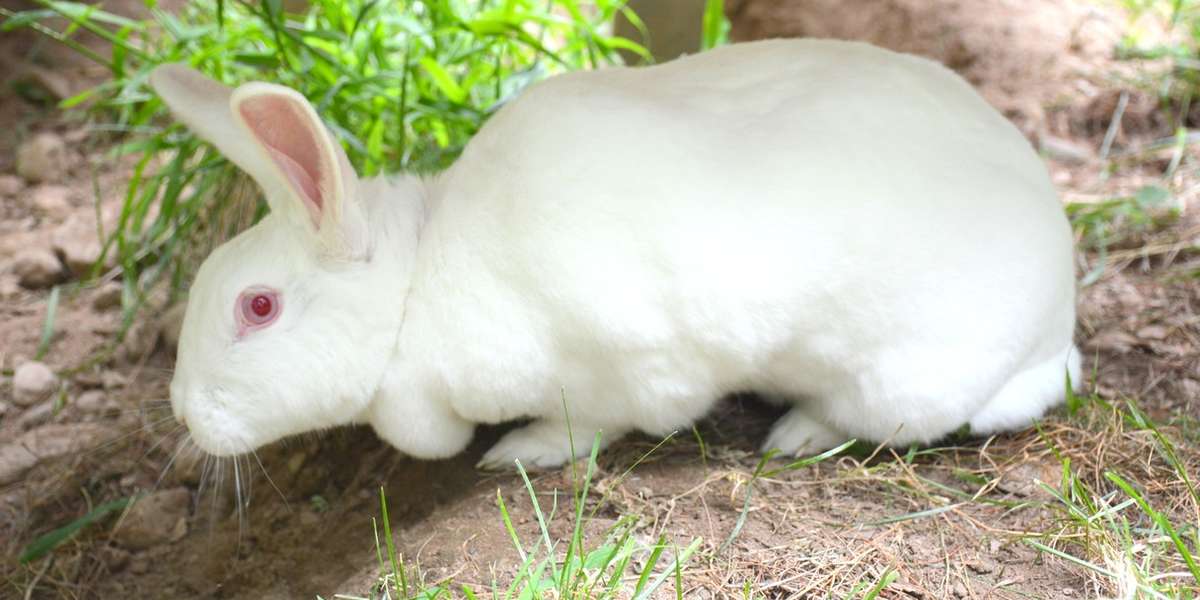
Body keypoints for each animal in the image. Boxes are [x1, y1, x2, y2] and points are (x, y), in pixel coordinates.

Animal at [154, 38, 1080, 470]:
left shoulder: (626, 364)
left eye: (258, 307)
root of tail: (1060, 317)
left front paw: (520, 453)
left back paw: (795, 432)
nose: (186, 417)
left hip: (903, 382)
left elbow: (597, 422)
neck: (421, 281)